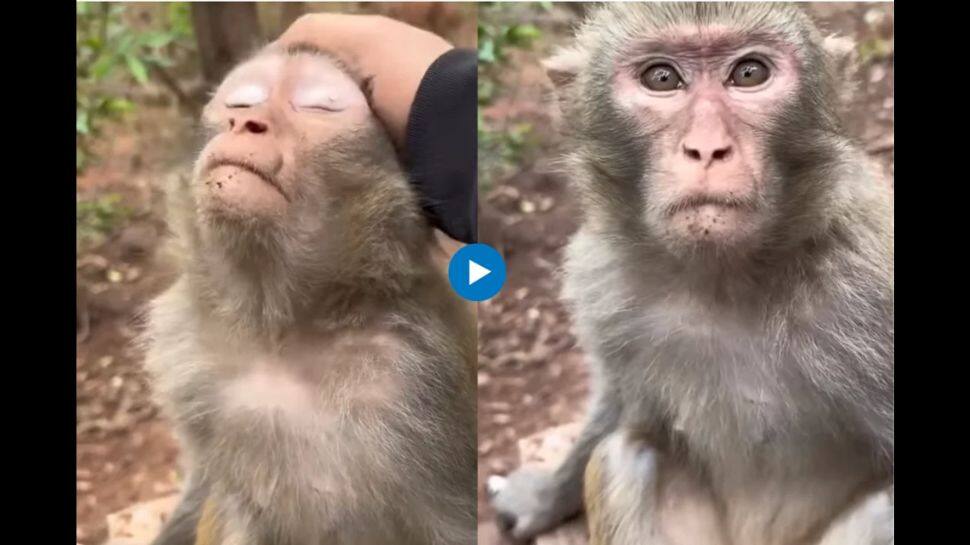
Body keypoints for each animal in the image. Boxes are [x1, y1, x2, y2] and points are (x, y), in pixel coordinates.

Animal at [143, 41, 476, 545]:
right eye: (240, 102)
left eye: (318, 106)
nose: (248, 124)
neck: (279, 327)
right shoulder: (188, 357)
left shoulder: (416, 379)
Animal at [487, 3, 893, 545]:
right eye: (661, 79)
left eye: (749, 74)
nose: (706, 149)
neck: (720, 275)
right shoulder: (602, 279)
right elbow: (621, 403)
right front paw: (545, 497)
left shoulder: (869, 275)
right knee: (624, 456)